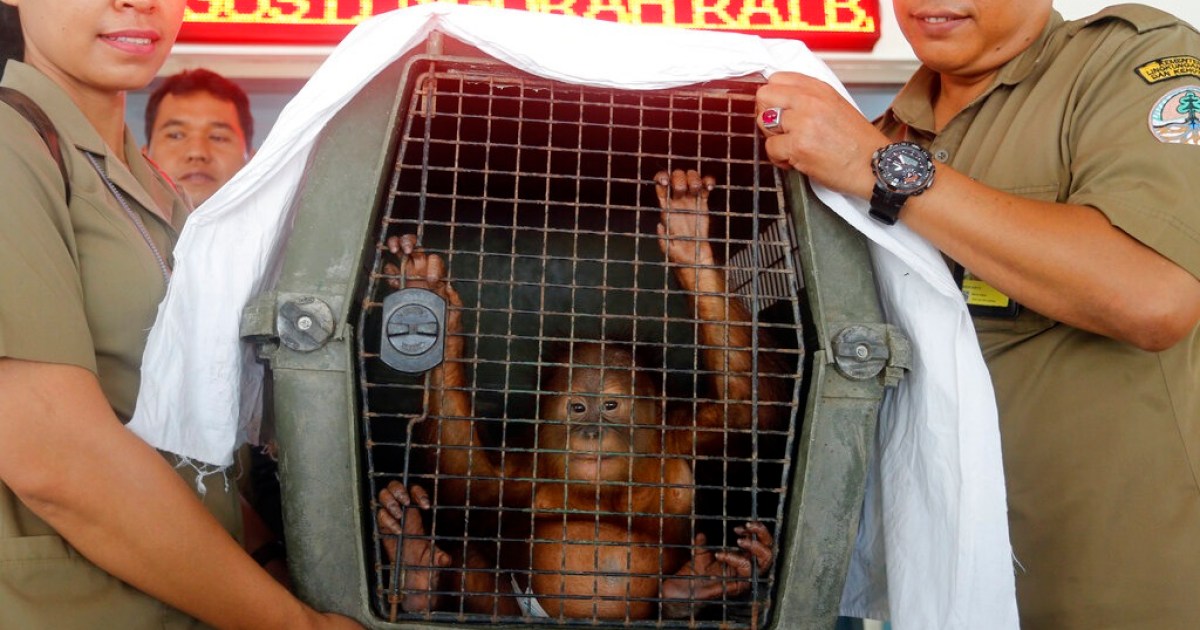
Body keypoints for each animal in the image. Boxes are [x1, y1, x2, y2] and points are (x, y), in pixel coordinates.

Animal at [376, 169, 789, 619]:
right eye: (577, 407)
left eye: (609, 405)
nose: (591, 430)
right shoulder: (523, 468)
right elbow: (470, 473)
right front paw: (432, 300)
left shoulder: (686, 439)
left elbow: (749, 409)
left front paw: (689, 238)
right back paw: (415, 566)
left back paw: (702, 585)